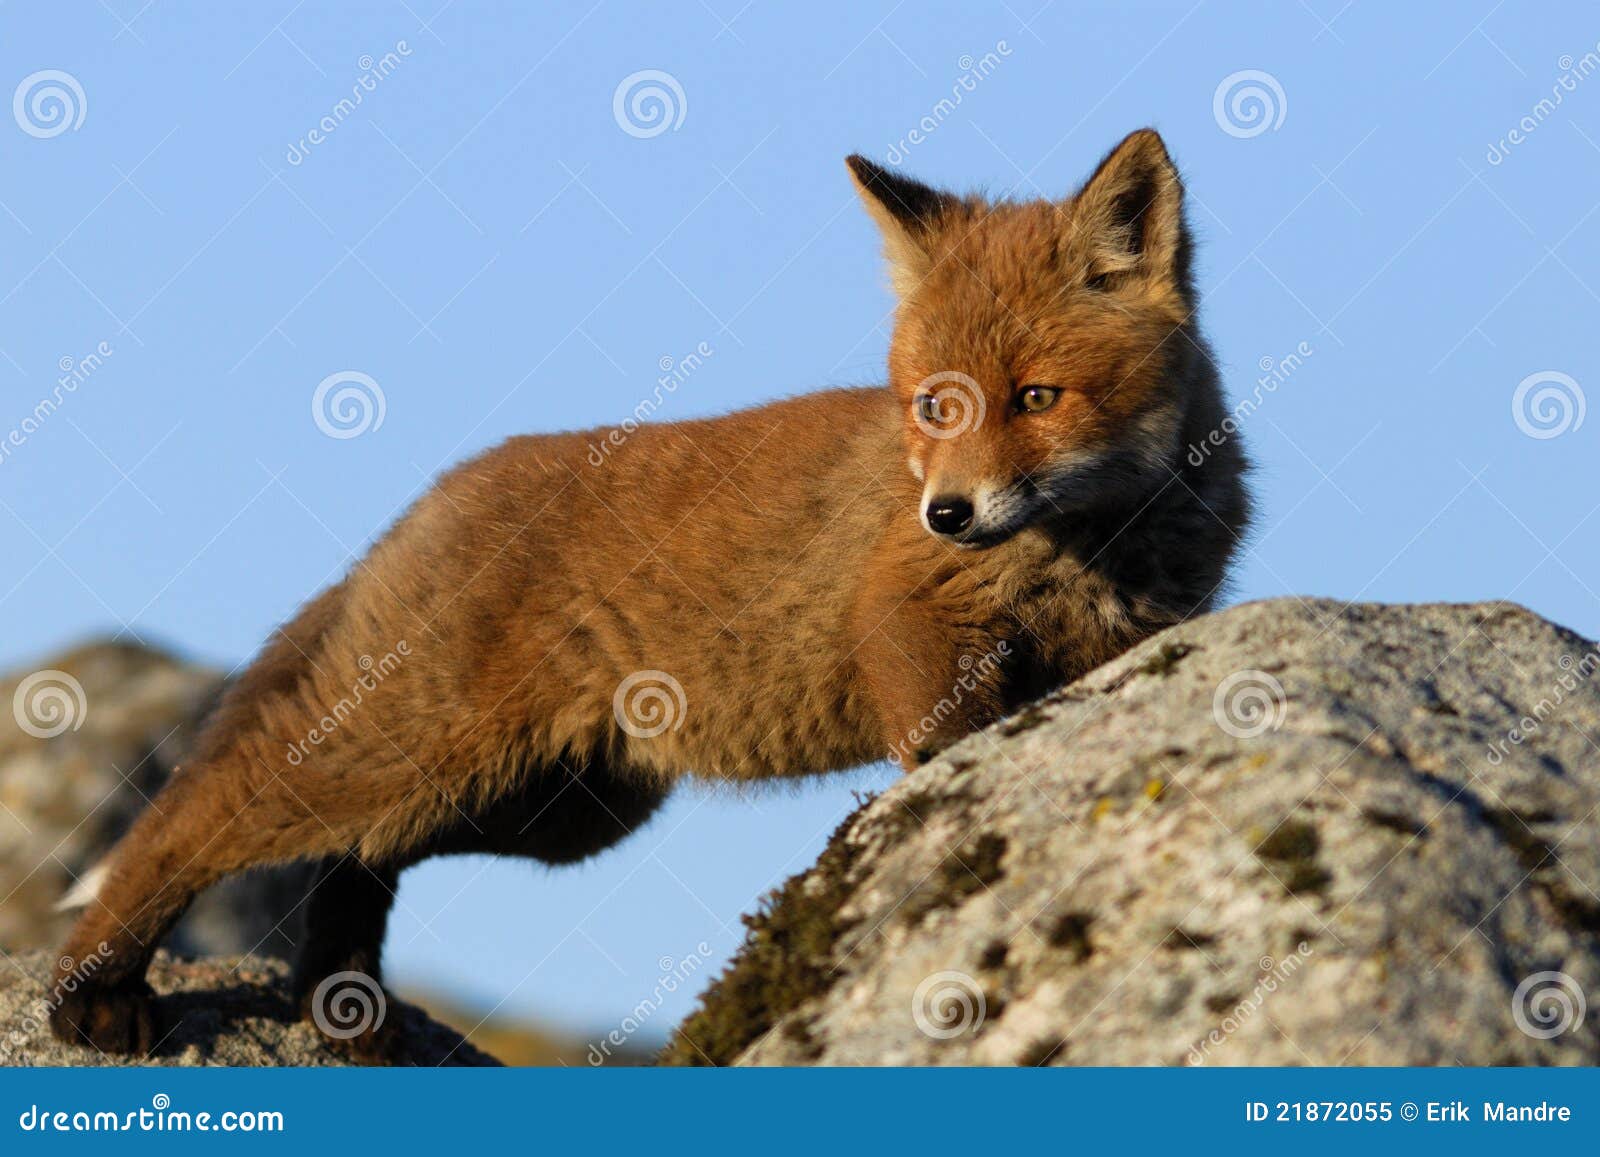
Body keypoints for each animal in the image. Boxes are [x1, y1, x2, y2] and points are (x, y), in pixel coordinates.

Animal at [49, 128, 1248, 1060]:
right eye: (930, 406)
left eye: (1036, 397)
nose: (944, 514)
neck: (1098, 546)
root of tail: (438, 490)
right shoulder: (909, 618)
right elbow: (952, 743)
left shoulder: (1133, 636)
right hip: (419, 755)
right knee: (195, 816)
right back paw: (92, 992)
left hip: (547, 810)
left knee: (351, 867)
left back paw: (349, 1018)